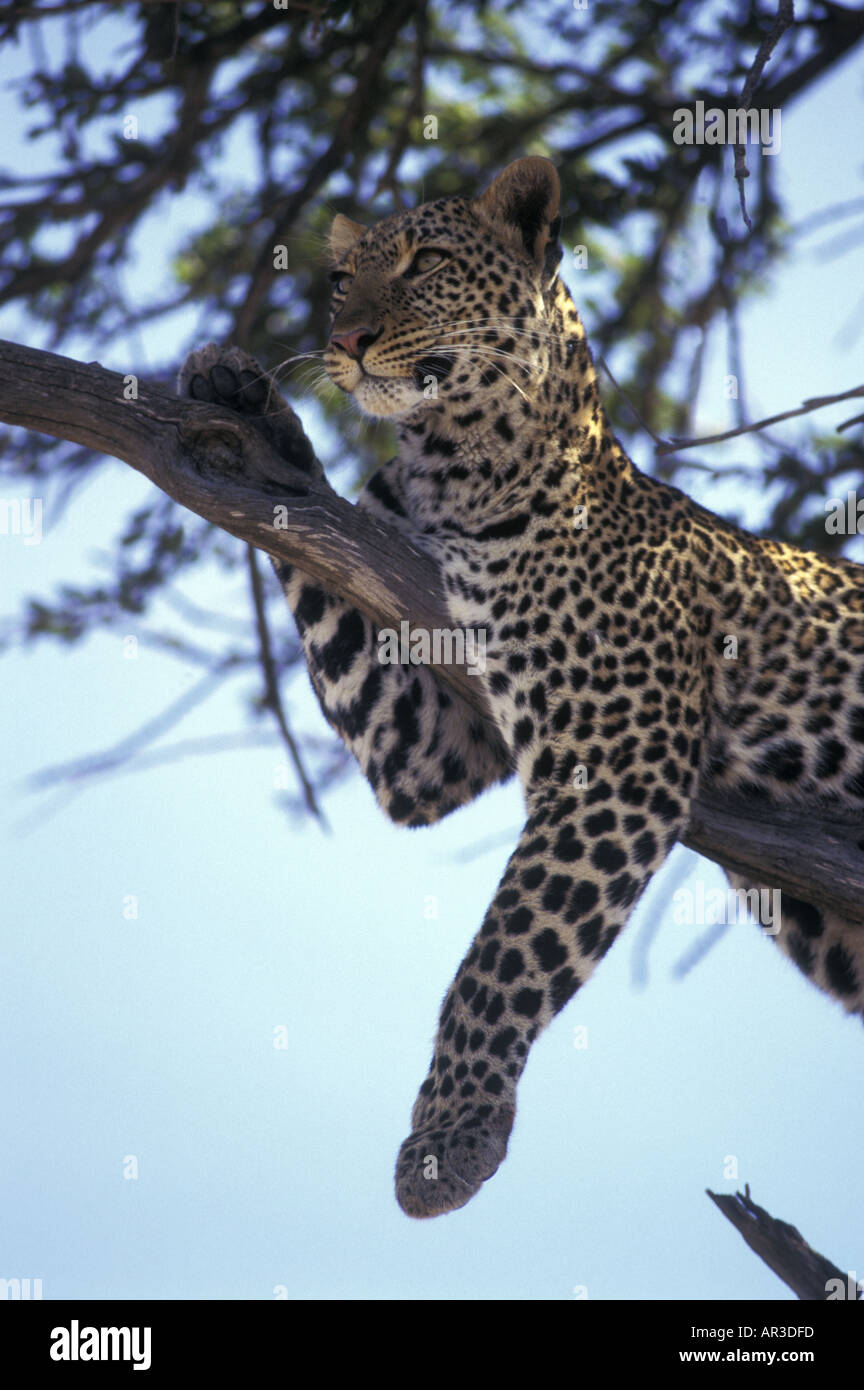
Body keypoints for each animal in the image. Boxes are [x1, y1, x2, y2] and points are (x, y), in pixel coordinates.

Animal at [179, 156, 864, 1221]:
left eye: (426, 262)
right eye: (341, 281)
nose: (345, 342)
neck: (451, 471)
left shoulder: (613, 766)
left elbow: (503, 957)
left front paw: (448, 1140)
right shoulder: (428, 745)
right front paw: (250, 413)